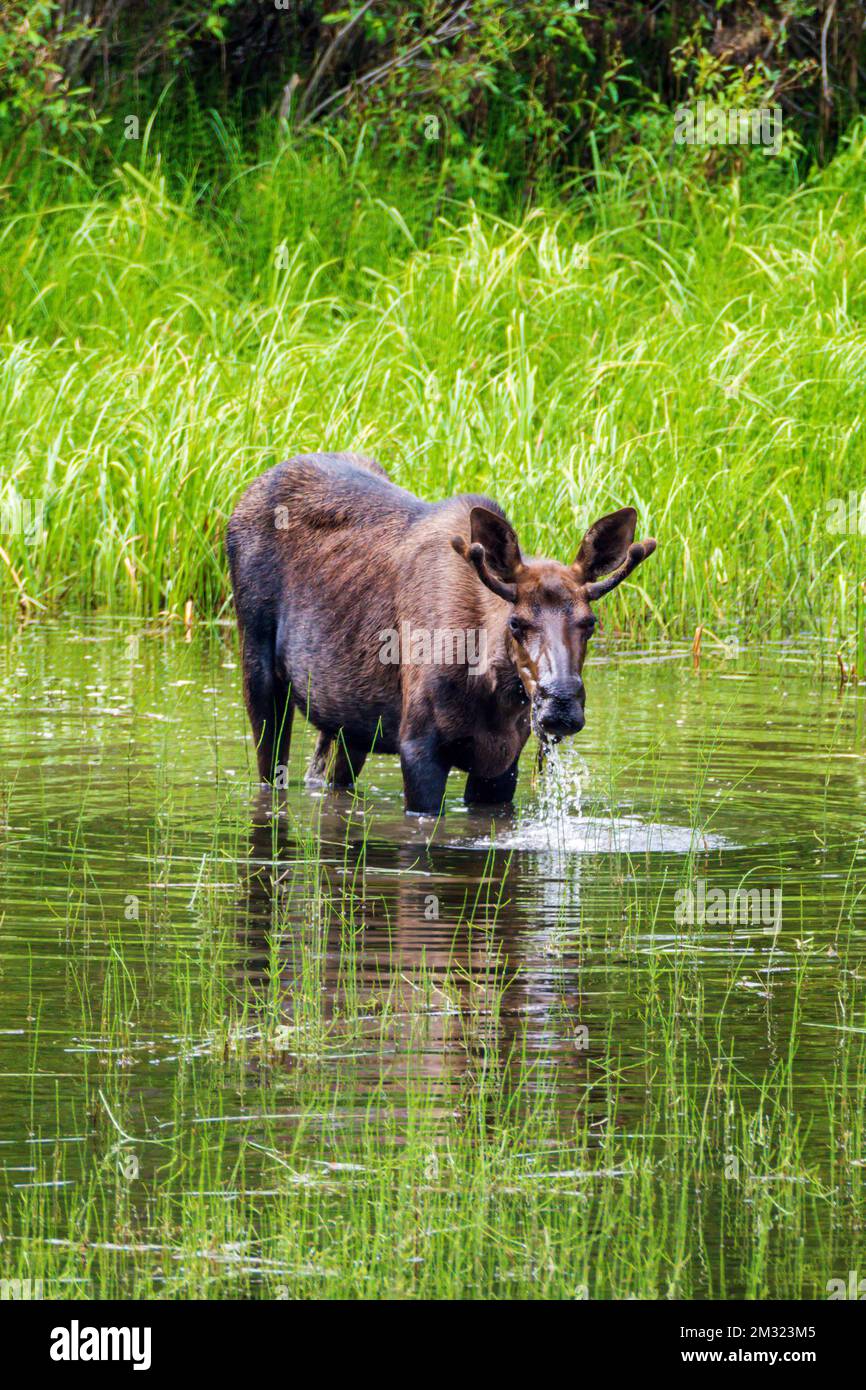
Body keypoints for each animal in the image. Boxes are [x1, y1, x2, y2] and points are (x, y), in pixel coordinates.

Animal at [226, 452, 656, 814]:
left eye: (590, 622)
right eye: (515, 622)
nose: (561, 704)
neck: (492, 689)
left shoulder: (502, 762)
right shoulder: (418, 747)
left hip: (347, 718)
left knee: (329, 774)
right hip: (258, 662)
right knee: (271, 768)